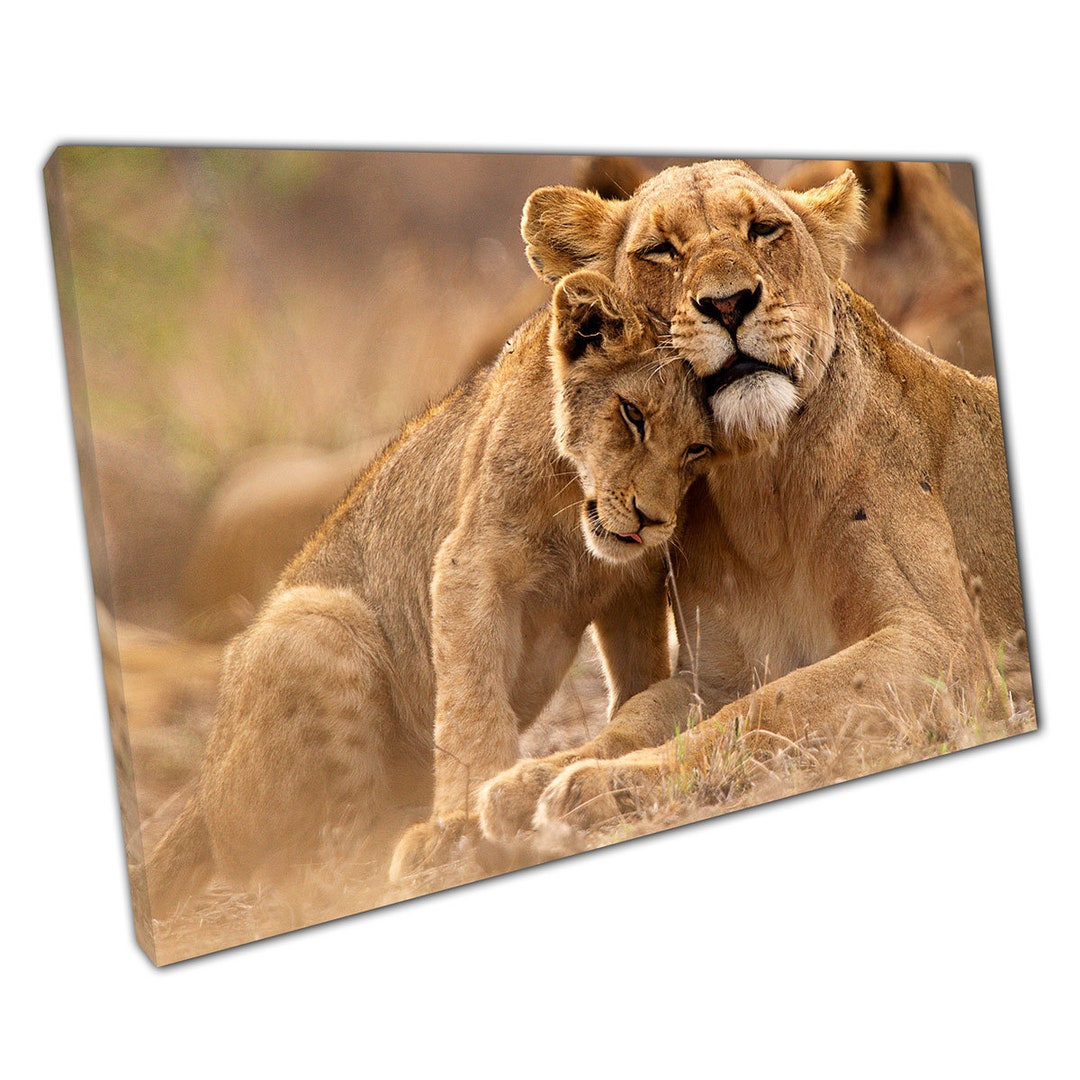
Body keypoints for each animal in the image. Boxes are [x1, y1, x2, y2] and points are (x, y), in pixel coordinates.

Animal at [145, 269, 714, 914]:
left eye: (698, 448)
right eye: (632, 414)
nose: (650, 521)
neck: (576, 506)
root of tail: (201, 792)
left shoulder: (632, 585)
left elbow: (640, 675)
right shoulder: (469, 565)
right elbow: (472, 705)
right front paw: (465, 817)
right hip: (319, 619)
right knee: (316, 863)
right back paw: (401, 845)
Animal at [478, 159, 1028, 839]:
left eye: (764, 230)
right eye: (660, 250)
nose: (728, 303)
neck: (757, 490)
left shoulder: (947, 646)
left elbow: (775, 704)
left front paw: (602, 785)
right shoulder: (714, 674)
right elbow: (635, 715)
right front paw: (531, 779)